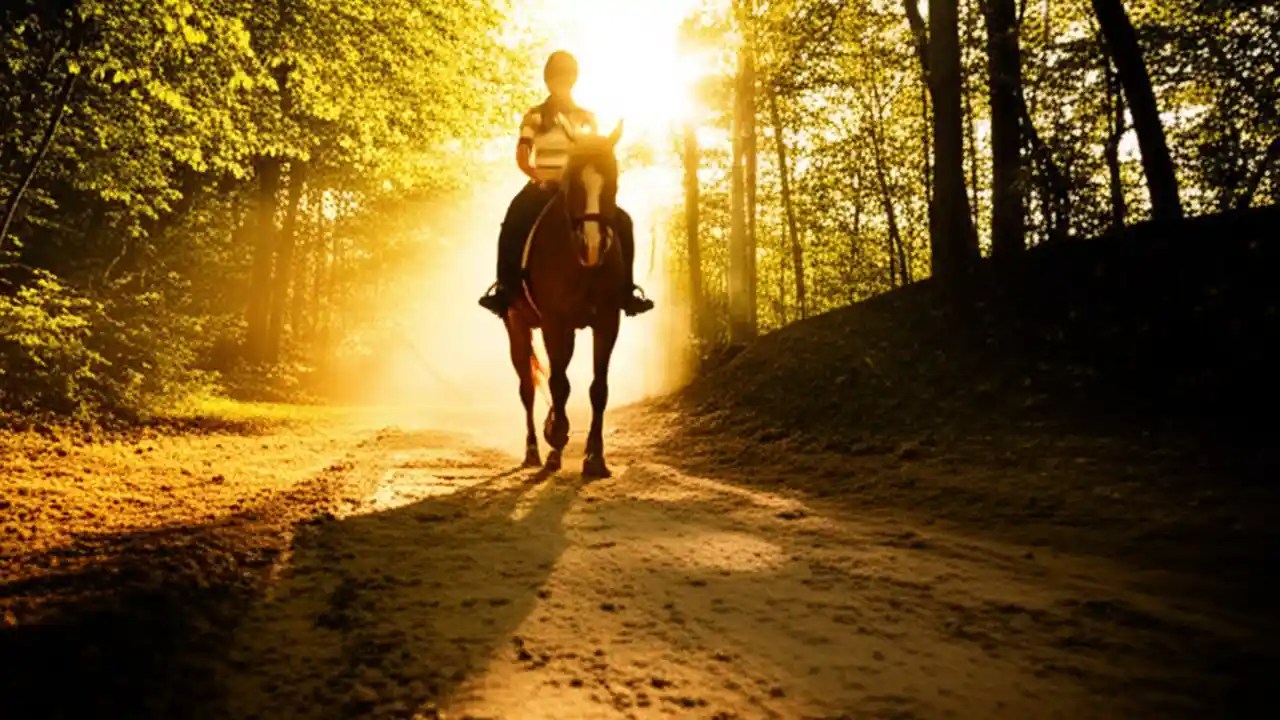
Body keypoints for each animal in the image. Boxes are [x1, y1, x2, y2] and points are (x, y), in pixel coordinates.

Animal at [504, 119, 627, 478]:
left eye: (613, 178)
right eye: (572, 182)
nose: (592, 245)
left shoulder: (607, 321)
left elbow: (598, 388)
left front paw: (595, 457)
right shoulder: (555, 323)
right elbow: (558, 384)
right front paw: (556, 440)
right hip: (517, 325)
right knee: (528, 388)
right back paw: (533, 450)